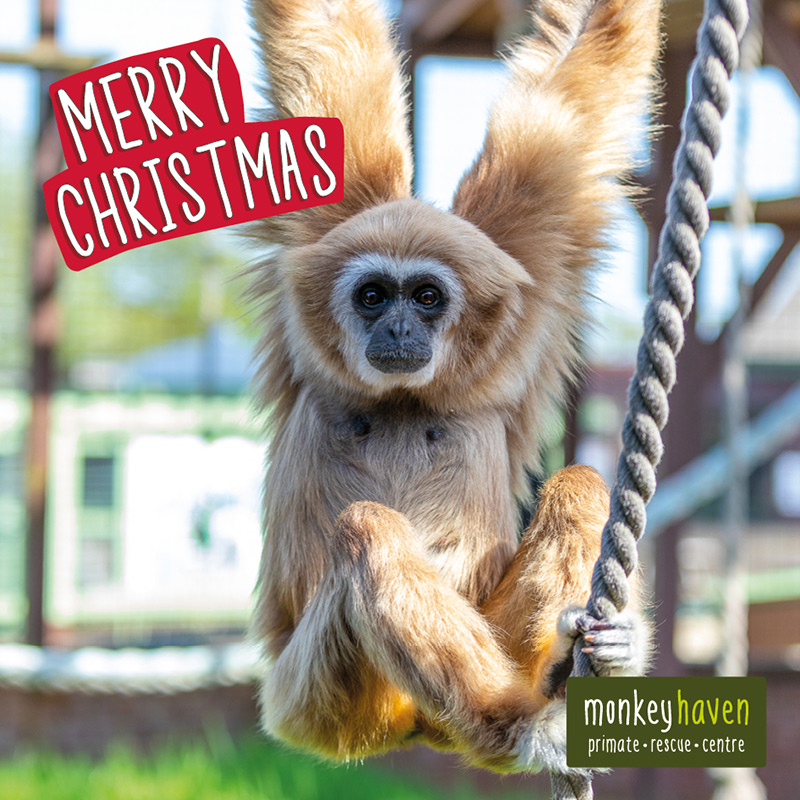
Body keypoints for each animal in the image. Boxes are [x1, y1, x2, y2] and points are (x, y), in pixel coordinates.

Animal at [246, 0, 661, 777]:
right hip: (309, 699)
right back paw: (520, 721)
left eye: (428, 297)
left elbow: (580, 84)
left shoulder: (522, 261)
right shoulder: (320, 236)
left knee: (582, 483)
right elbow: (321, 33)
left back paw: (564, 679)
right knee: (367, 529)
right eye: (374, 296)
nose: (400, 327)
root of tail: (417, 728)